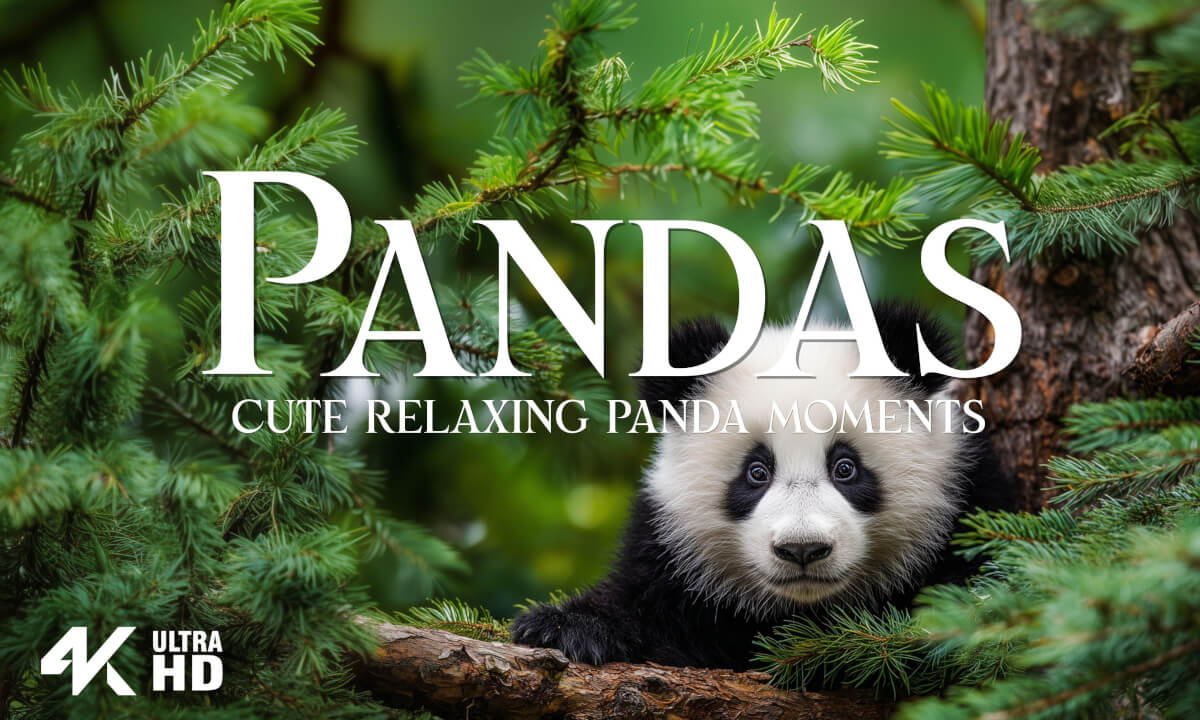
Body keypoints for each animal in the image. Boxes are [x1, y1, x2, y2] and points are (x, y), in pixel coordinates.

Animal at [510, 303, 1016, 670]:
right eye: (756, 472)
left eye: (845, 468)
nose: (802, 550)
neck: (803, 611)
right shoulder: (671, 552)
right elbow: (638, 603)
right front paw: (567, 629)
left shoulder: (964, 504)